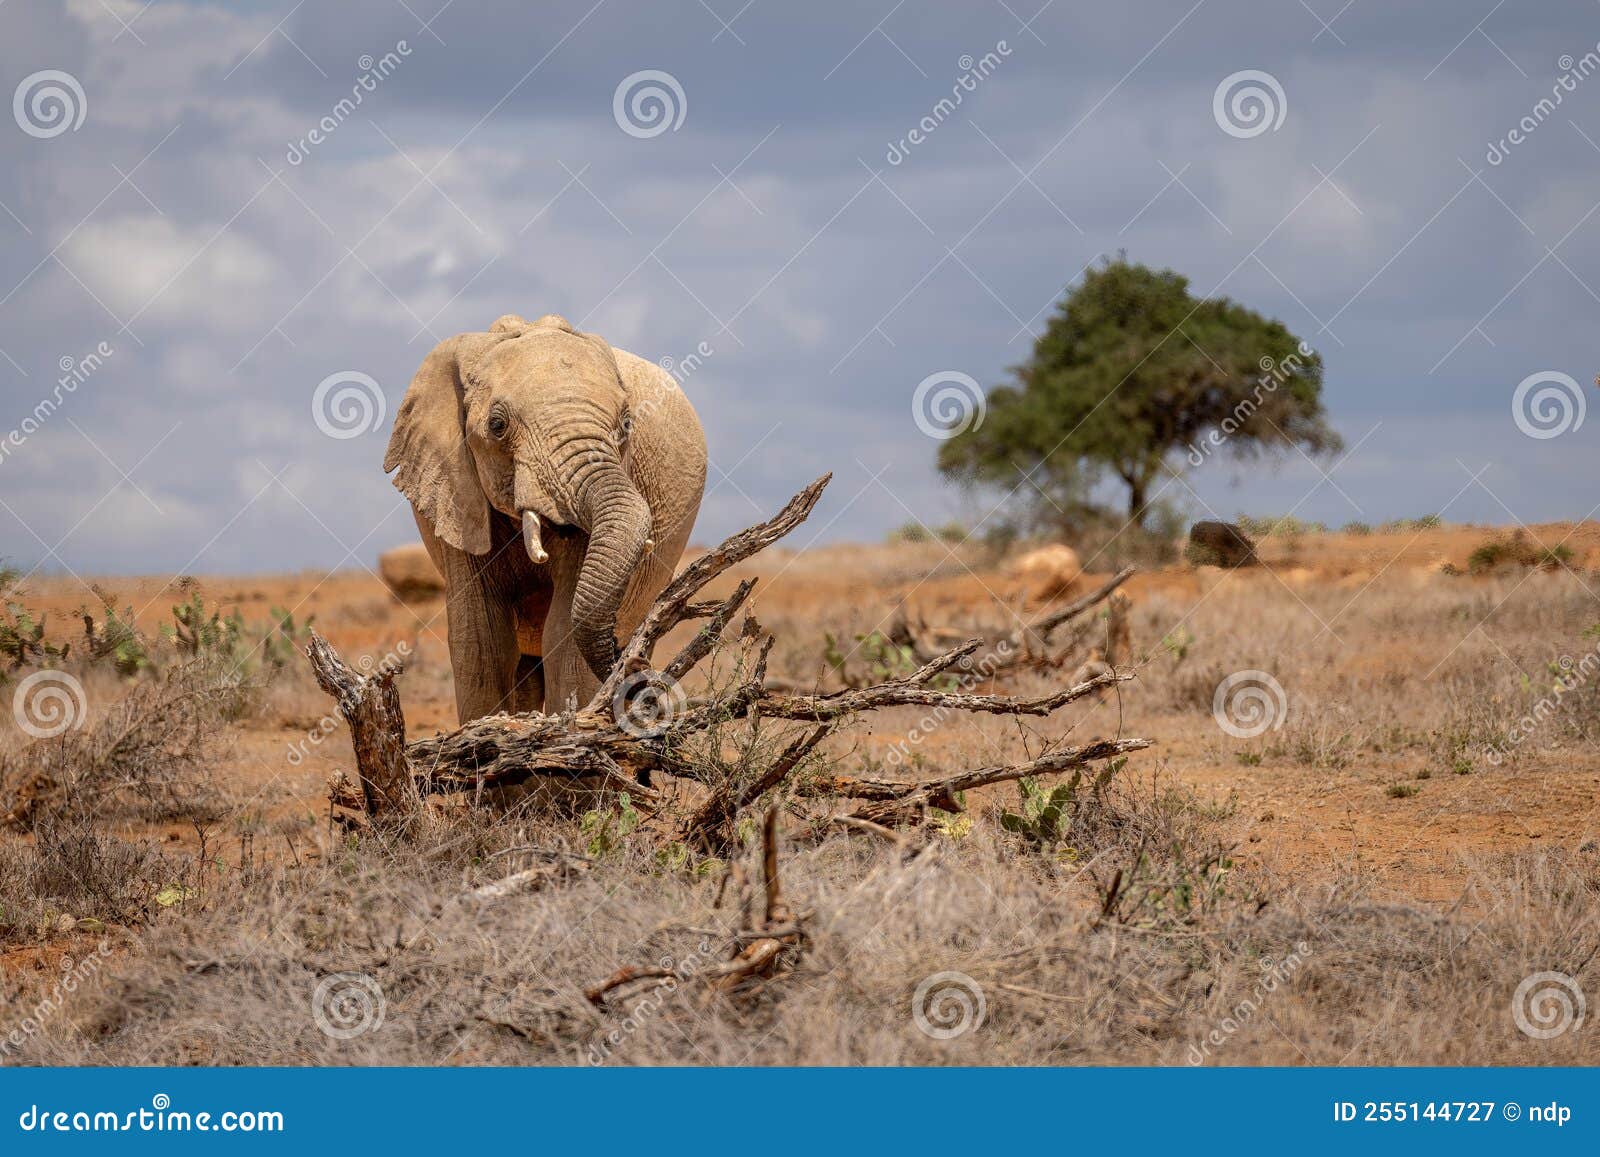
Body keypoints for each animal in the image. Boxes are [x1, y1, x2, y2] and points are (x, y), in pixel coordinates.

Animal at [384, 312, 707, 723]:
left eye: (627, 424)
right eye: (497, 426)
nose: (632, 666)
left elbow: (562, 630)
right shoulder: (456, 492)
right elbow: (481, 637)